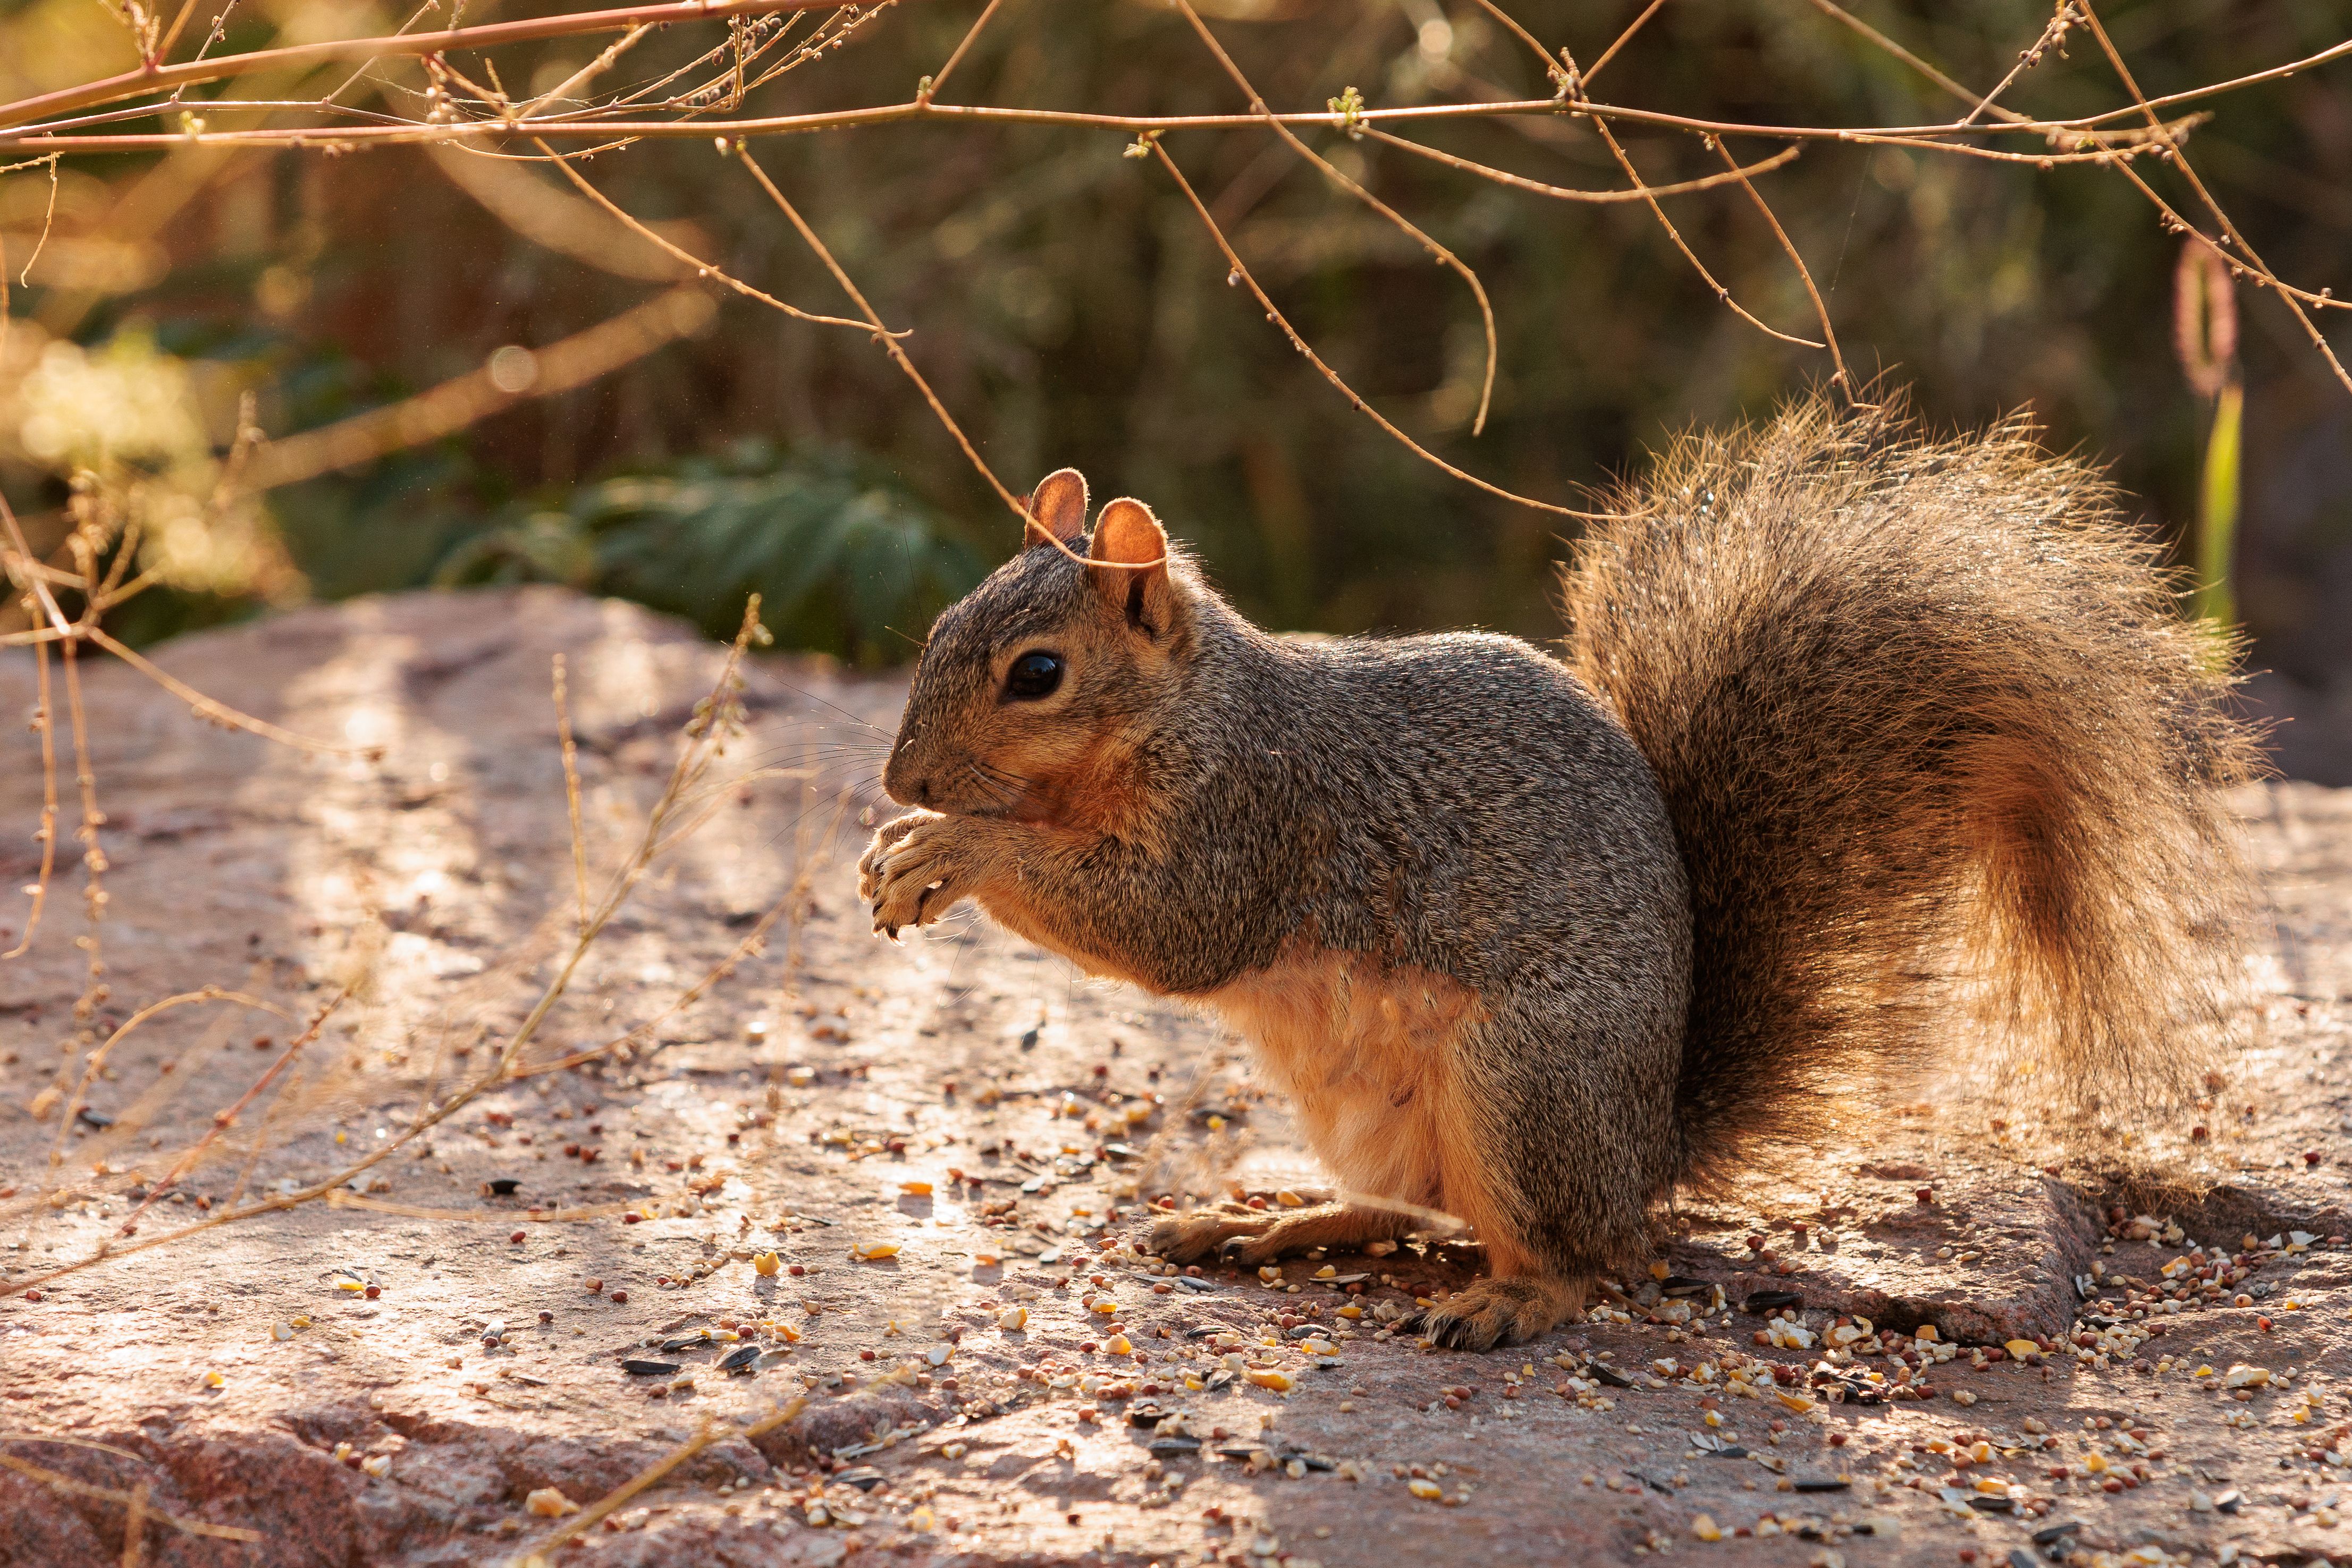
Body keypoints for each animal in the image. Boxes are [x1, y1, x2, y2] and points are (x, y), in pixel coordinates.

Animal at [858, 396, 2259, 1350]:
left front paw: (949, 848)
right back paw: (1269, 1221)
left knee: (1582, 1260)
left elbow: (1168, 927)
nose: (901, 777)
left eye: (1037, 673)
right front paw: (904, 845)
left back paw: (1507, 1302)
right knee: (1414, 1209)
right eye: (938, 628)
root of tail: (1646, 1153)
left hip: (1523, 1082)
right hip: (1399, 1117)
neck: (1186, 710)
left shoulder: (1253, 819)